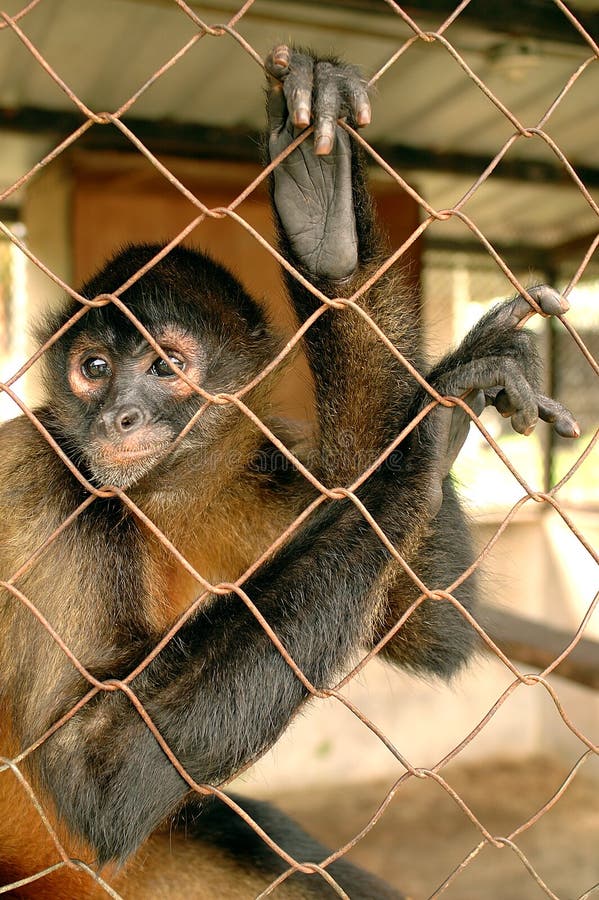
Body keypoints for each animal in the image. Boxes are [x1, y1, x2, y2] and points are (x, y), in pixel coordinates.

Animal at [0, 47, 579, 899]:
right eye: (94, 369)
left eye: (165, 366)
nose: (117, 419)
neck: (162, 500)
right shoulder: (42, 478)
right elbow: (93, 768)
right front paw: (427, 427)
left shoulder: (267, 476)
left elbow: (428, 627)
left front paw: (325, 225)